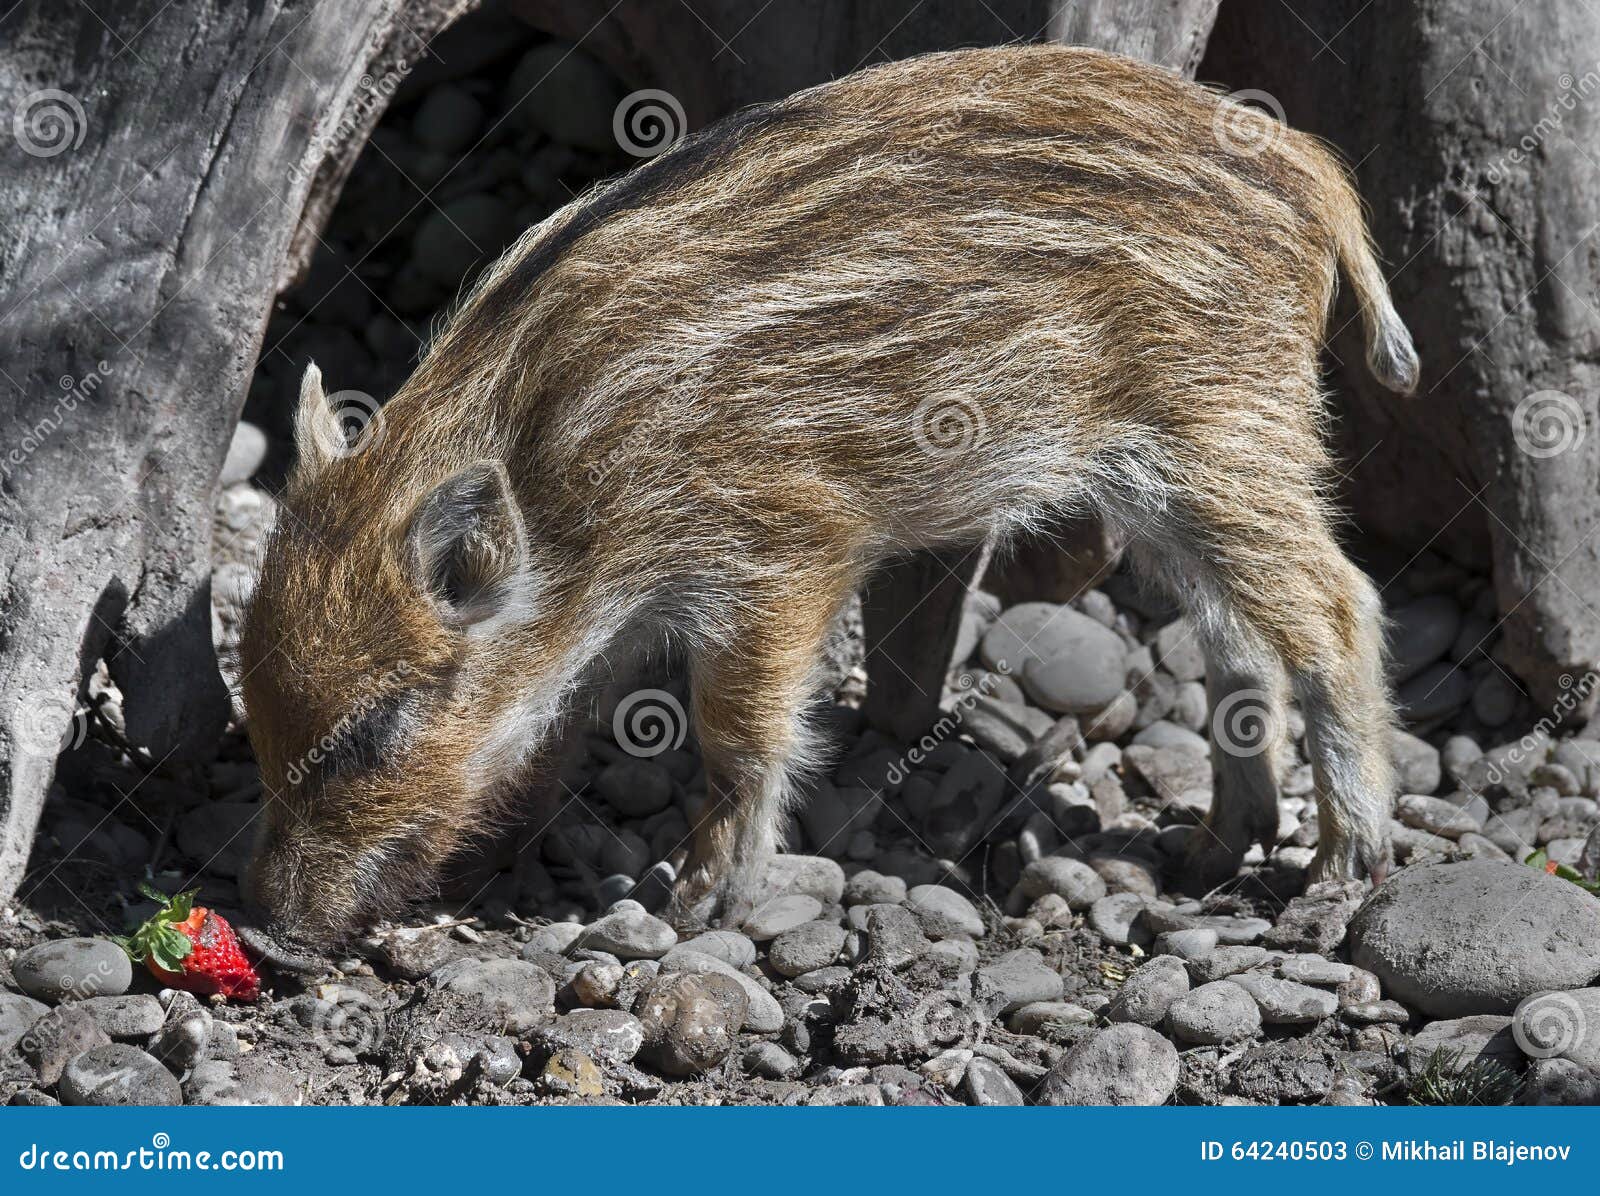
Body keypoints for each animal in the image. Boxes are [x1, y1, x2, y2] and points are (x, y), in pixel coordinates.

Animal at [239, 44, 1418, 949]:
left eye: (379, 724)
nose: (272, 935)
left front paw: (701, 902)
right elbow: (560, 718)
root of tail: (1313, 173)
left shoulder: (781, 550)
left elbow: (738, 732)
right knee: (1236, 639)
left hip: (1222, 430)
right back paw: (1216, 848)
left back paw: (1341, 868)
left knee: (1338, 606)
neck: (561, 477)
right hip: (1182, 474)